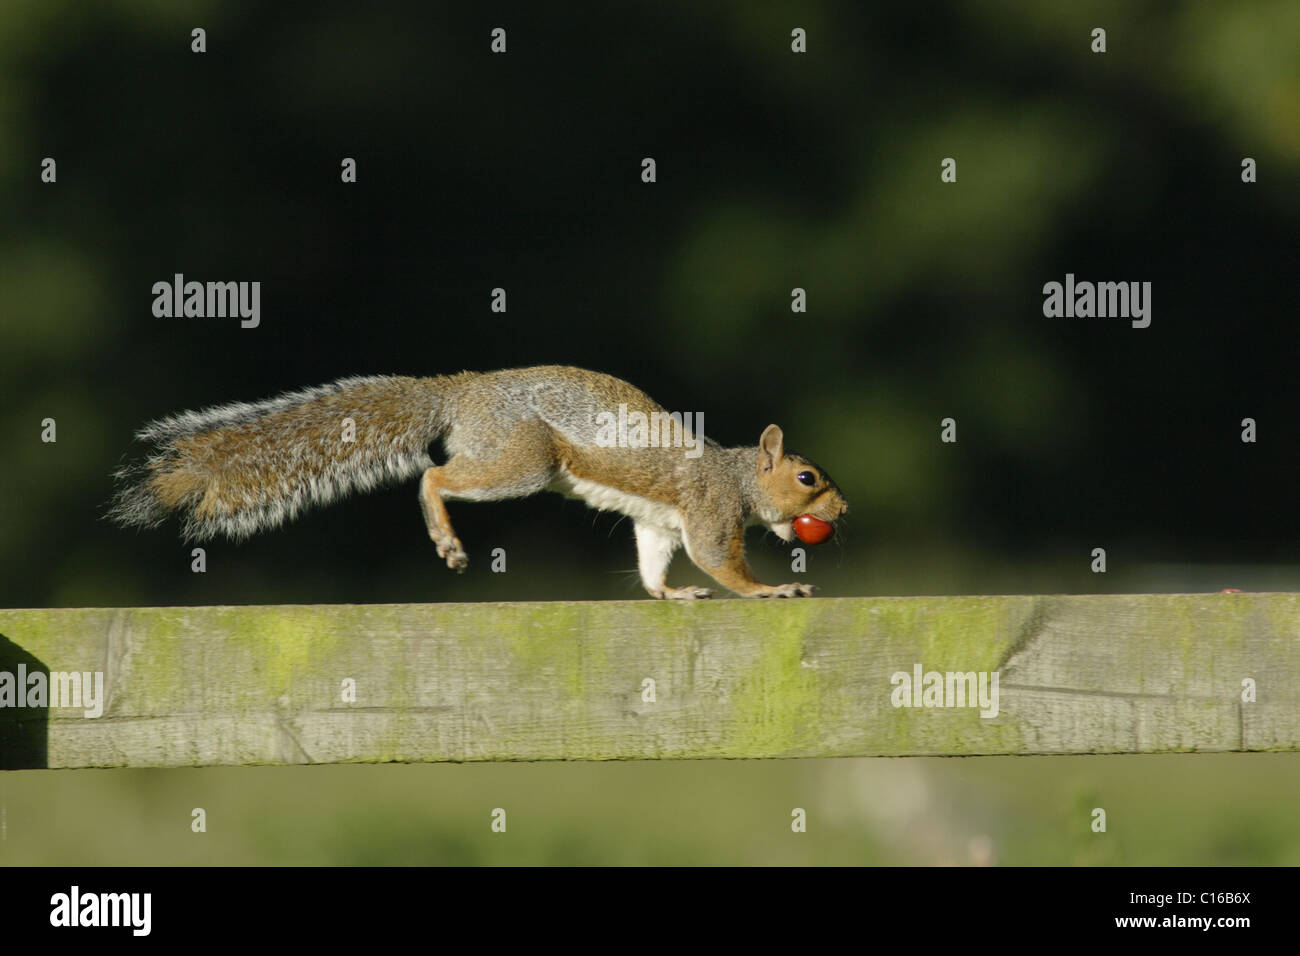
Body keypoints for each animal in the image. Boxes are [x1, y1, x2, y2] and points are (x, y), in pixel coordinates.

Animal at [109, 366, 848, 599]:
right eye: (807, 476)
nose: (841, 511)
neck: (735, 472)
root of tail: (458, 395)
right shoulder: (711, 510)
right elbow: (724, 563)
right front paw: (773, 588)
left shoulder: (659, 520)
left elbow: (653, 559)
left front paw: (669, 593)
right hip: (523, 459)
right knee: (435, 477)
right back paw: (444, 532)